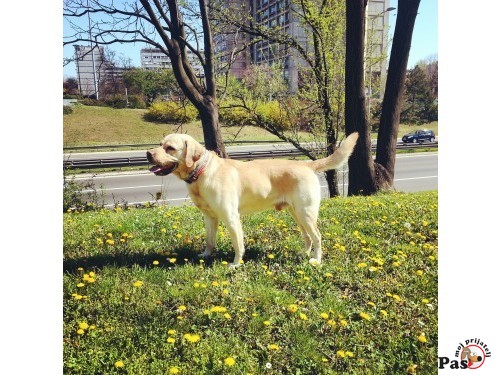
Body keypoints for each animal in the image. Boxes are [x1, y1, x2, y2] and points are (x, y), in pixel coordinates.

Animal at [146, 134, 358, 266]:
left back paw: (316, 260)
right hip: (297, 214)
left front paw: (235, 264)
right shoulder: (209, 217)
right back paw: (305, 254)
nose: (148, 153)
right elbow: (210, 240)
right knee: (308, 237)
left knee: (317, 236)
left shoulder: (231, 217)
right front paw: (206, 255)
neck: (201, 173)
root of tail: (306, 164)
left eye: (170, 148)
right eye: (160, 143)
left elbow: (238, 244)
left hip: (306, 213)